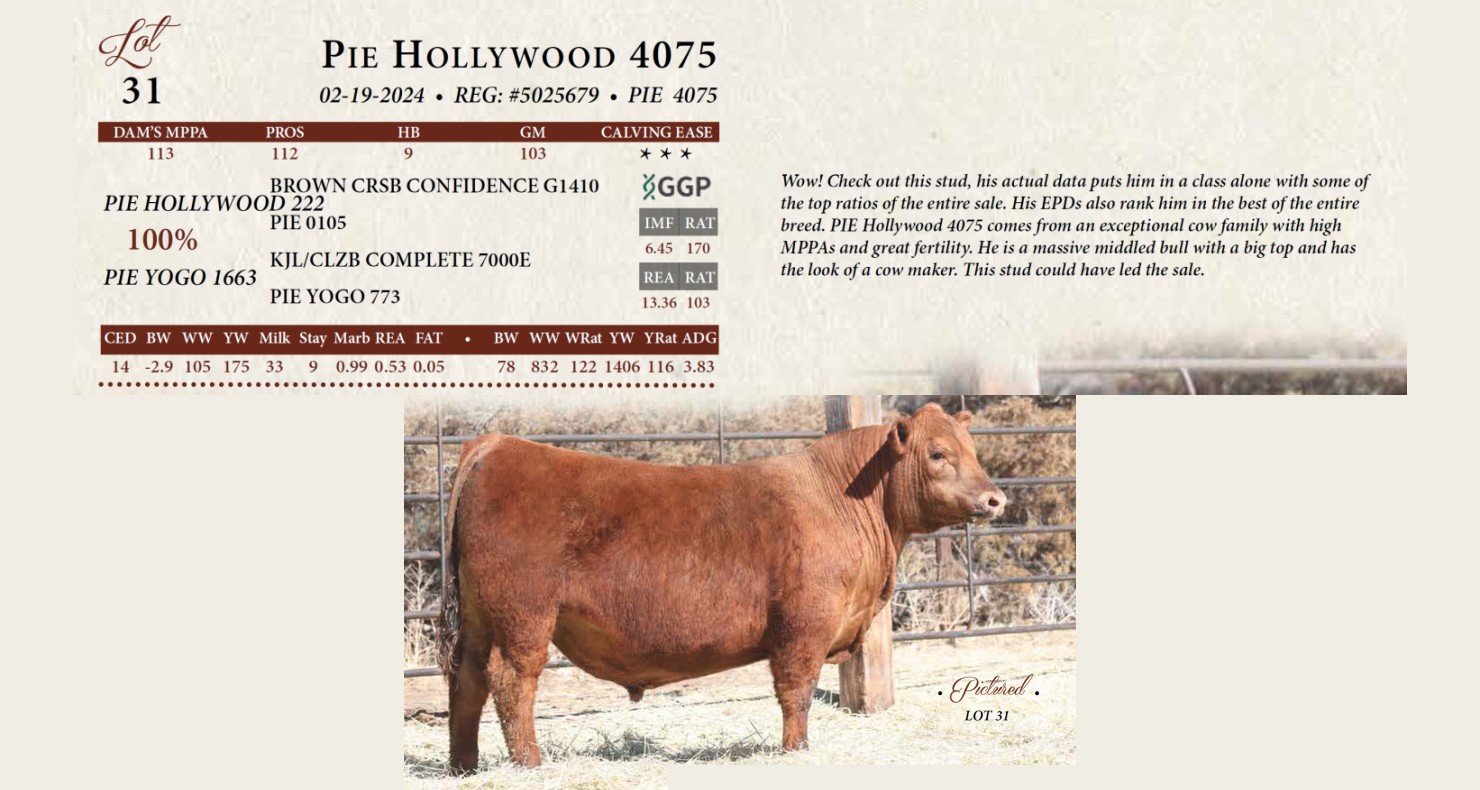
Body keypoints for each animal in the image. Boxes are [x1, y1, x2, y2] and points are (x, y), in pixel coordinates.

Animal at [437, 403, 1007, 771]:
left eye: (972, 449)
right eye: (937, 454)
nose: (995, 499)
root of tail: (497, 443)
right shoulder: (804, 625)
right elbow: (796, 692)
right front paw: (795, 752)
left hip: (481, 616)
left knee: (466, 680)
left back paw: (464, 766)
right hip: (524, 613)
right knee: (510, 679)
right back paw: (529, 763)